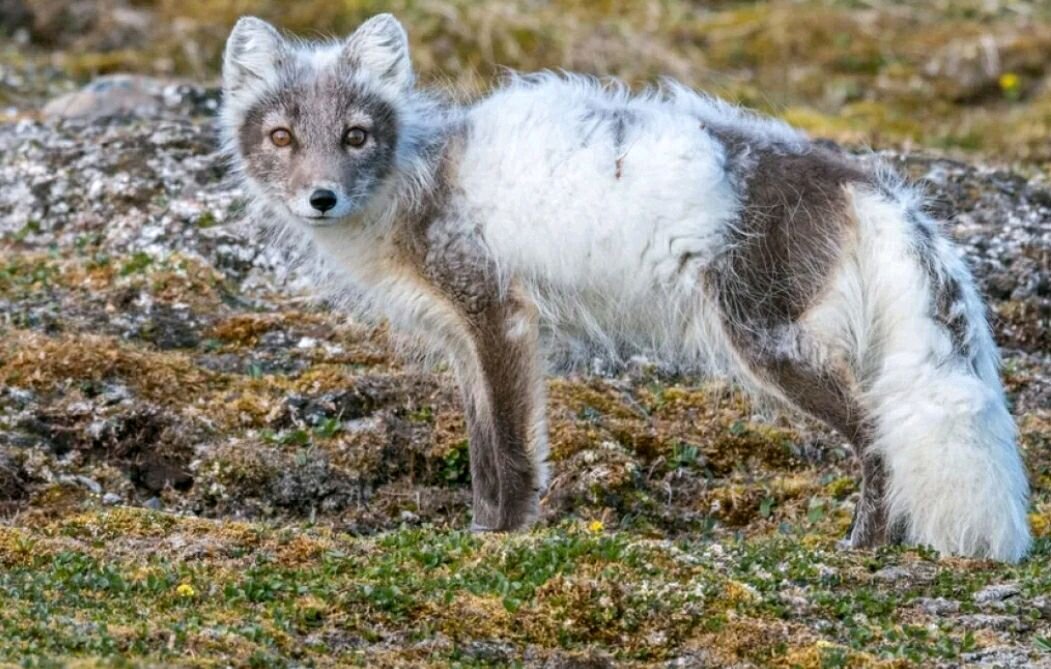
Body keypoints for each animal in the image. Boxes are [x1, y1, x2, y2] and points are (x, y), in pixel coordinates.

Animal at [217, 14, 1029, 558]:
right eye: (282, 137)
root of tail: (856, 178)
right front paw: (480, 529)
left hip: (767, 343)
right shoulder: (462, 338)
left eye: (356, 135)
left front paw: (502, 539)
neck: (411, 183)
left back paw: (862, 547)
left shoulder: (501, 319)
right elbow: (481, 454)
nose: (320, 198)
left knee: (877, 436)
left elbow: (513, 454)